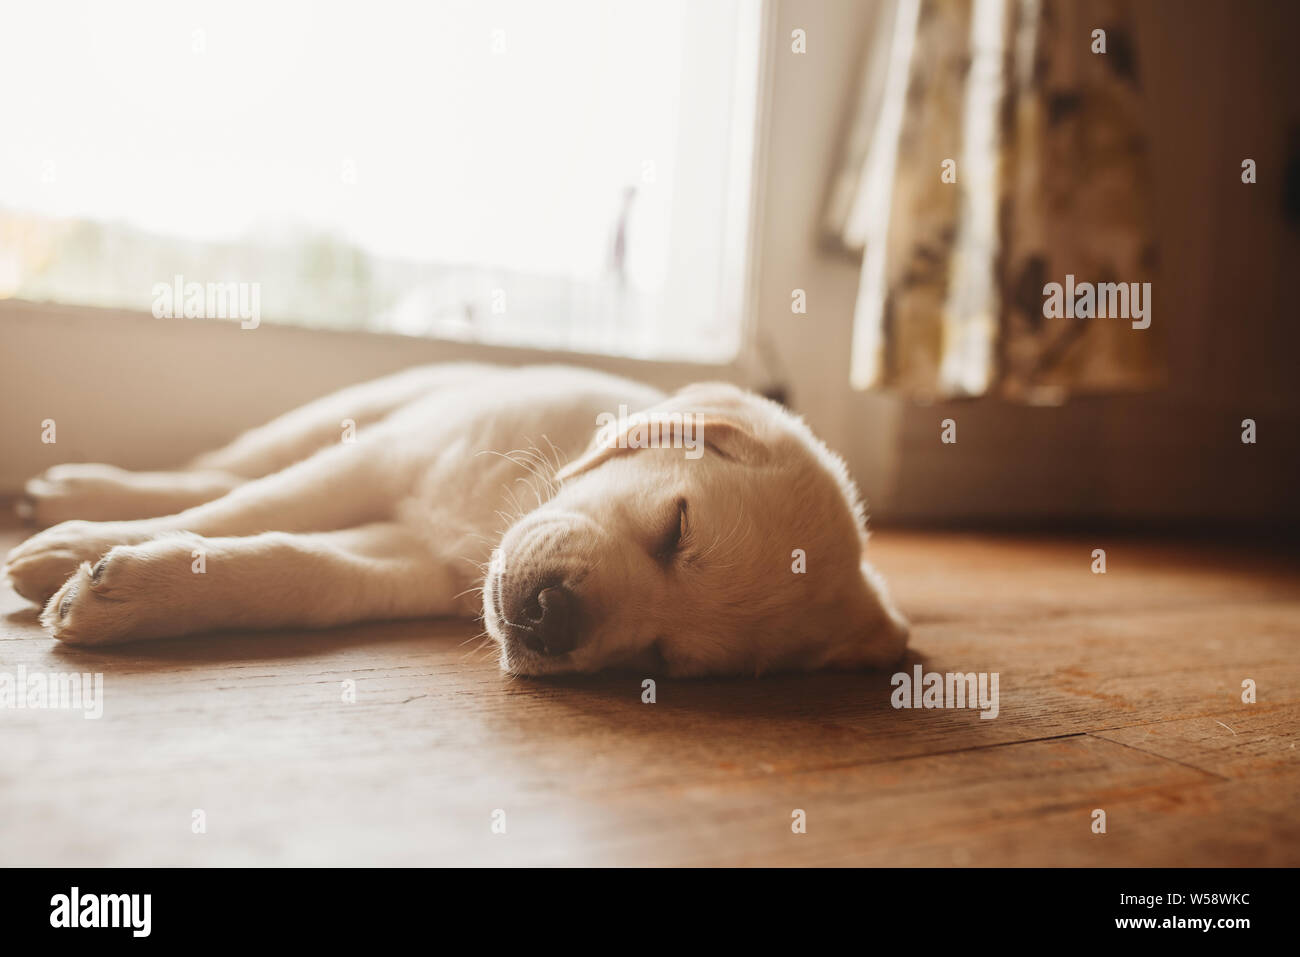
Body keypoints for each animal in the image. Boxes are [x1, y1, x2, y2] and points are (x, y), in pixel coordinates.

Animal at [5, 361, 909, 676]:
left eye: (663, 658)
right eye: (675, 528)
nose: (553, 618)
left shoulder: (419, 561)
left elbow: (307, 571)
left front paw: (138, 590)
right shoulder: (379, 459)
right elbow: (250, 505)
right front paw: (85, 549)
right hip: (357, 411)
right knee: (227, 466)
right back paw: (77, 497)